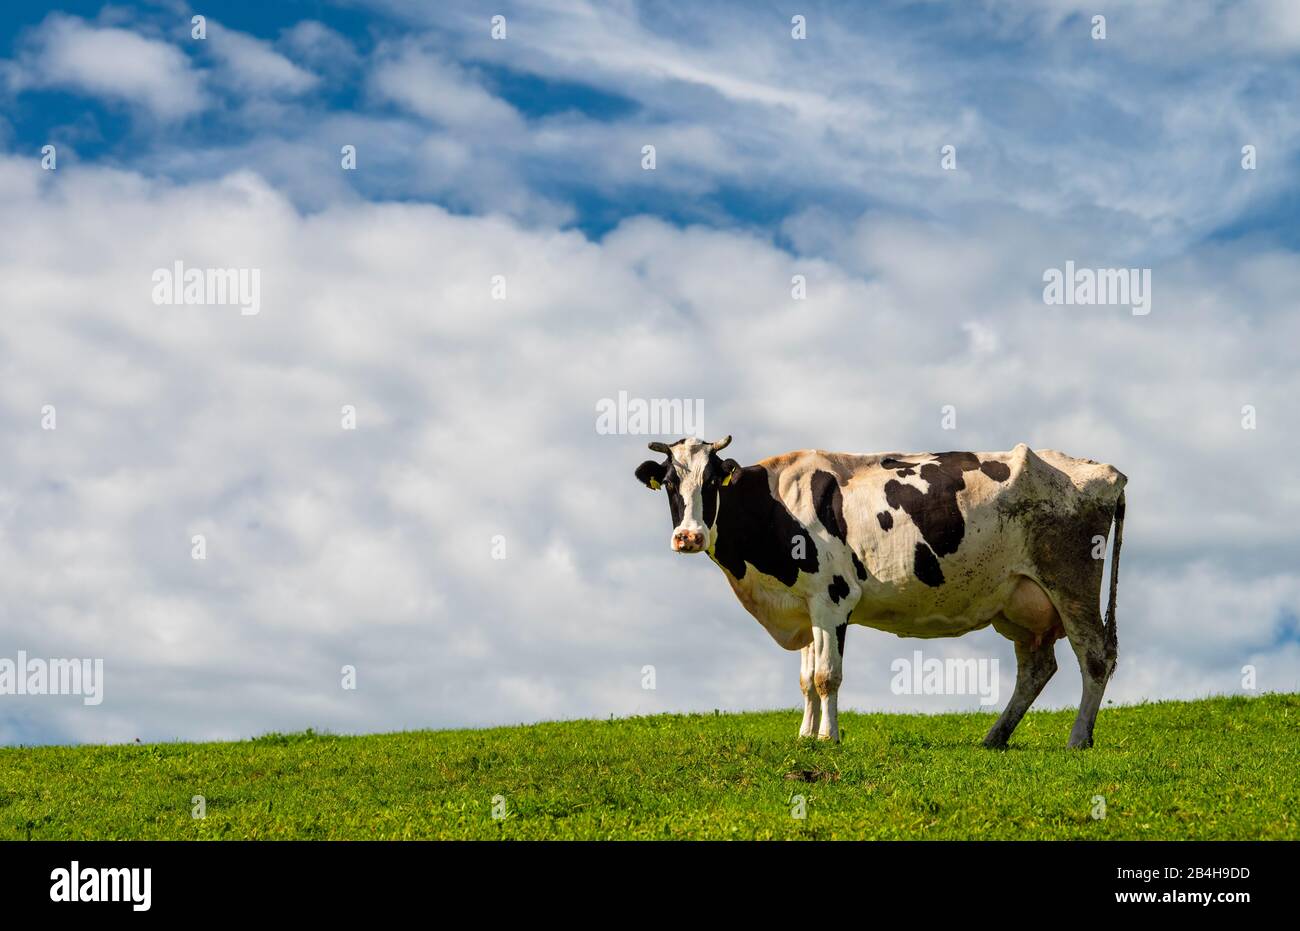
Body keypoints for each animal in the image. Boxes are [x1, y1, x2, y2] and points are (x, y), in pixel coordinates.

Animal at [634, 436, 1127, 748]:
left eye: (711, 482)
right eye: (672, 484)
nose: (688, 536)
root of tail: (1103, 470)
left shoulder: (833, 599)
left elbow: (826, 675)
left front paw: (829, 738)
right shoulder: (806, 606)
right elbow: (805, 679)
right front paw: (805, 735)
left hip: (1072, 582)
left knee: (1095, 656)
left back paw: (1078, 738)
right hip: (1020, 603)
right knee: (1037, 668)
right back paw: (995, 737)